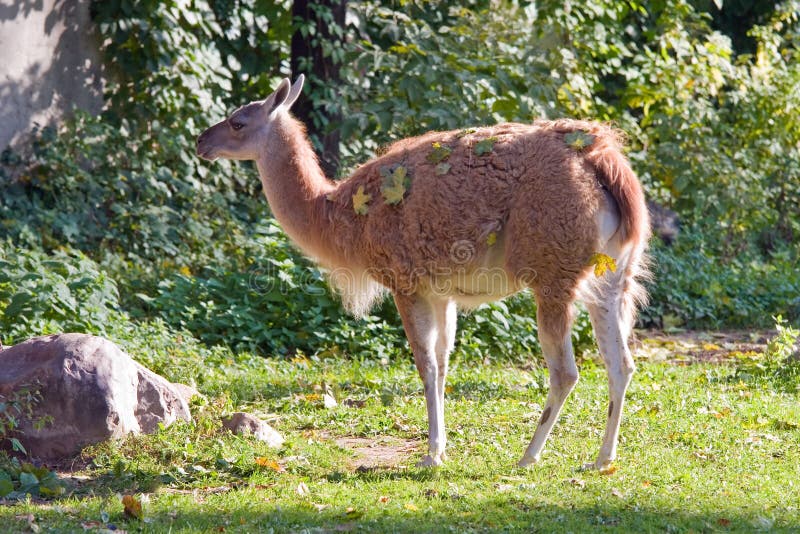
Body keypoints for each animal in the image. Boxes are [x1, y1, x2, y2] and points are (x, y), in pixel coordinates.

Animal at [196, 76, 651, 469]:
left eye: (238, 121)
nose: (202, 141)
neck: (341, 214)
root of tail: (605, 161)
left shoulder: (406, 283)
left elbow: (426, 365)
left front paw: (430, 454)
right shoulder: (440, 291)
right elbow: (445, 364)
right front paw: (441, 445)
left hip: (554, 274)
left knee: (566, 371)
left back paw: (529, 456)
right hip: (614, 278)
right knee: (622, 364)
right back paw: (602, 459)